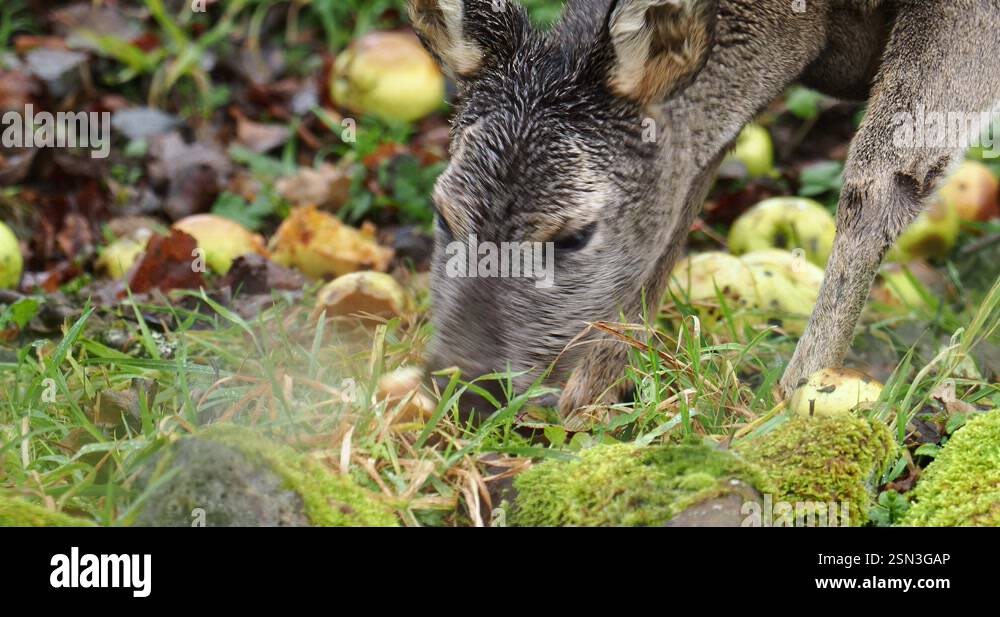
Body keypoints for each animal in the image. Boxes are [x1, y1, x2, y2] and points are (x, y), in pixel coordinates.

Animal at [408, 0, 1000, 422]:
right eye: (443, 214)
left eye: (573, 235)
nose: (463, 388)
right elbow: (679, 208)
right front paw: (594, 402)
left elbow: (880, 179)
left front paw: (795, 398)